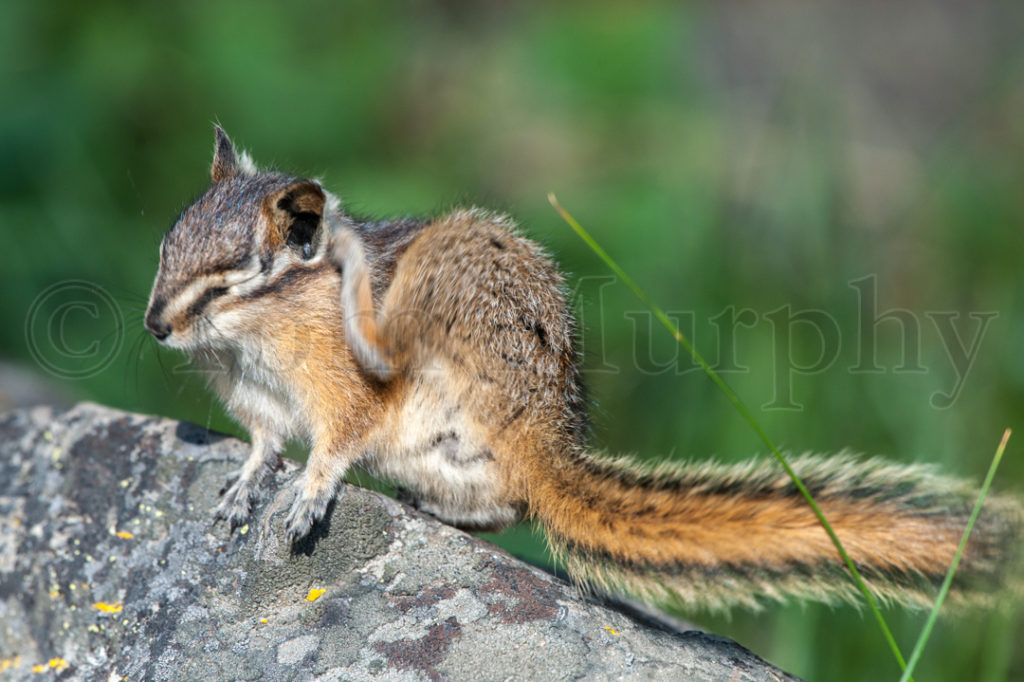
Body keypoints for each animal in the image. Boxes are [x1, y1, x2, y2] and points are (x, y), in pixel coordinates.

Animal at [144, 127, 1022, 612]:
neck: (254, 347)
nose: (154, 324)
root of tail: (547, 436)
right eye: (166, 243)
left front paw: (309, 494)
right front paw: (242, 489)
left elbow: (333, 442)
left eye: (232, 278)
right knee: (508, 505)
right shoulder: (261, 407)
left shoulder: (342, 396)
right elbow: (264, 446)